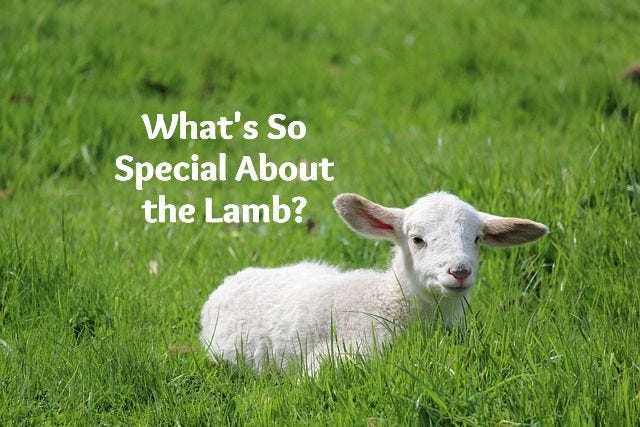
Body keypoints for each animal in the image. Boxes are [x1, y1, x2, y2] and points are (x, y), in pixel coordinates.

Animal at [200, 191, 549, 374]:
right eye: (417, 239)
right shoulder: (340, 352)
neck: (390, 302)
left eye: (477, 239)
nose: (459, 271)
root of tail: (232, 279)